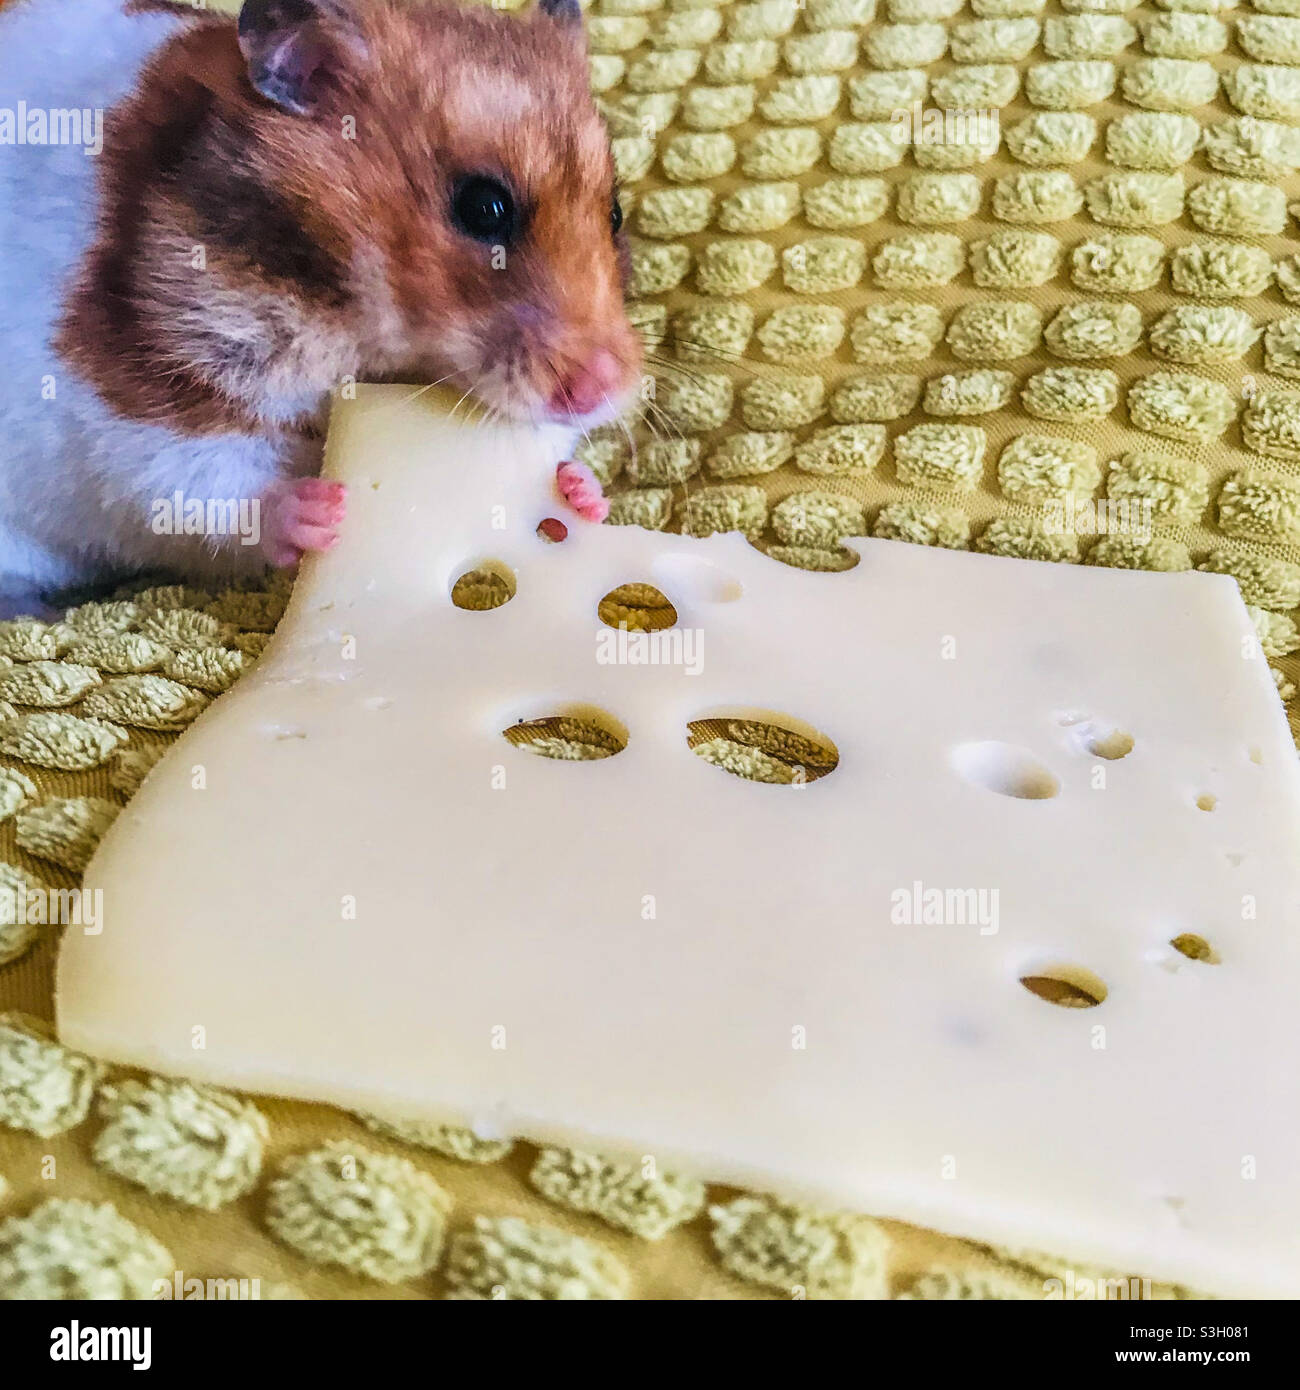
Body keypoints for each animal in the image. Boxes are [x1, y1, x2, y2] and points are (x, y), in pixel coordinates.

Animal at [0, 0, 641, 615]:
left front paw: (582, 491)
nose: (605, 391)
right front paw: (323, 510)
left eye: (614, 214)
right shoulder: (130, 394)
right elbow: (195, 477)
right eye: (484, 208)